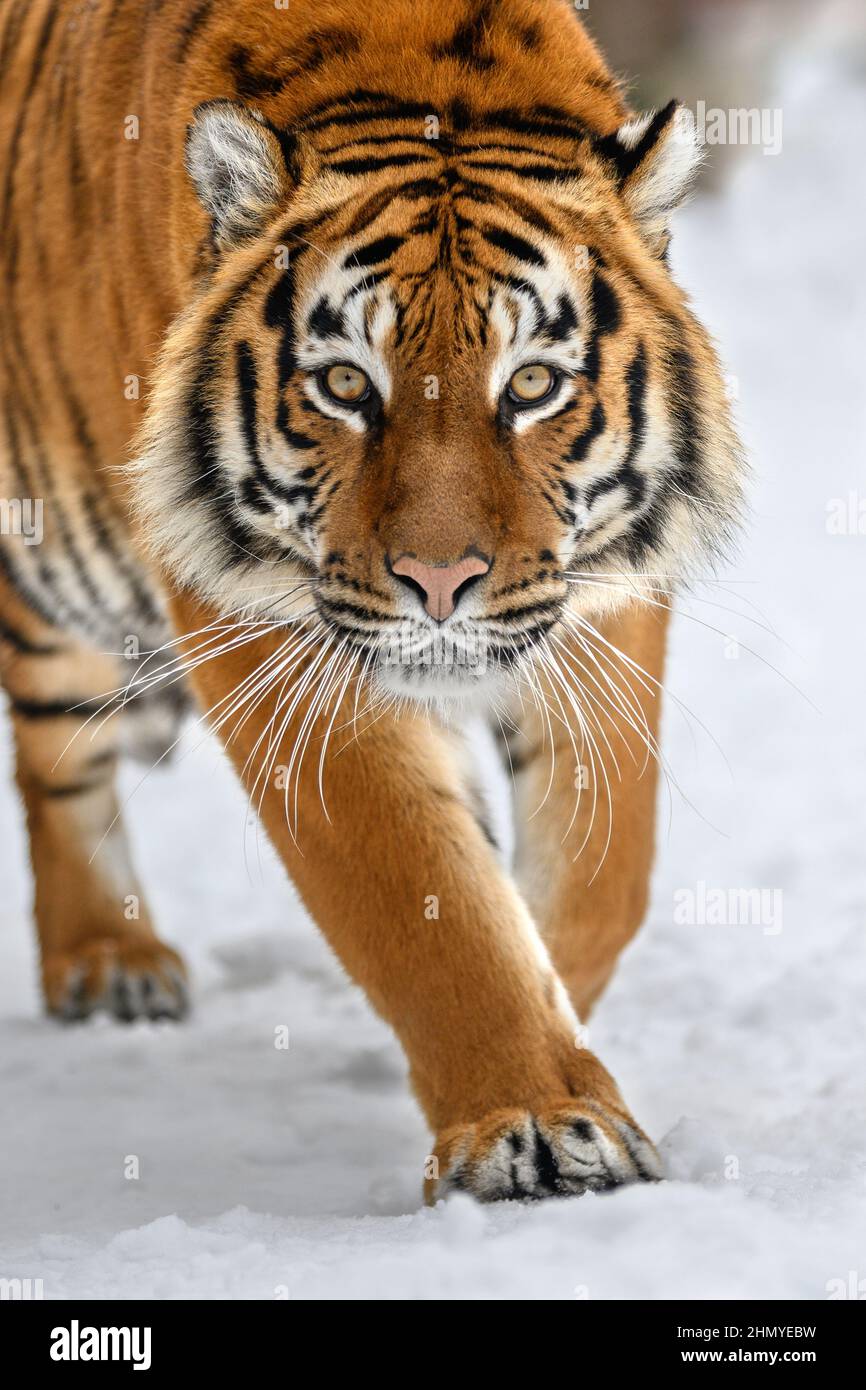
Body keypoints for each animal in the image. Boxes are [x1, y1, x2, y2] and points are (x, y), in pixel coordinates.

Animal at [0, 0, 744, 1204]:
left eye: (532, 384)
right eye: (345, 384)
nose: (438, 581)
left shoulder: (600, 600)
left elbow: (600, 873)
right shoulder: (265, 630)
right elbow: (419, 893)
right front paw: (535, 1123)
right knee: (53, 742)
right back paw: (108, 961)